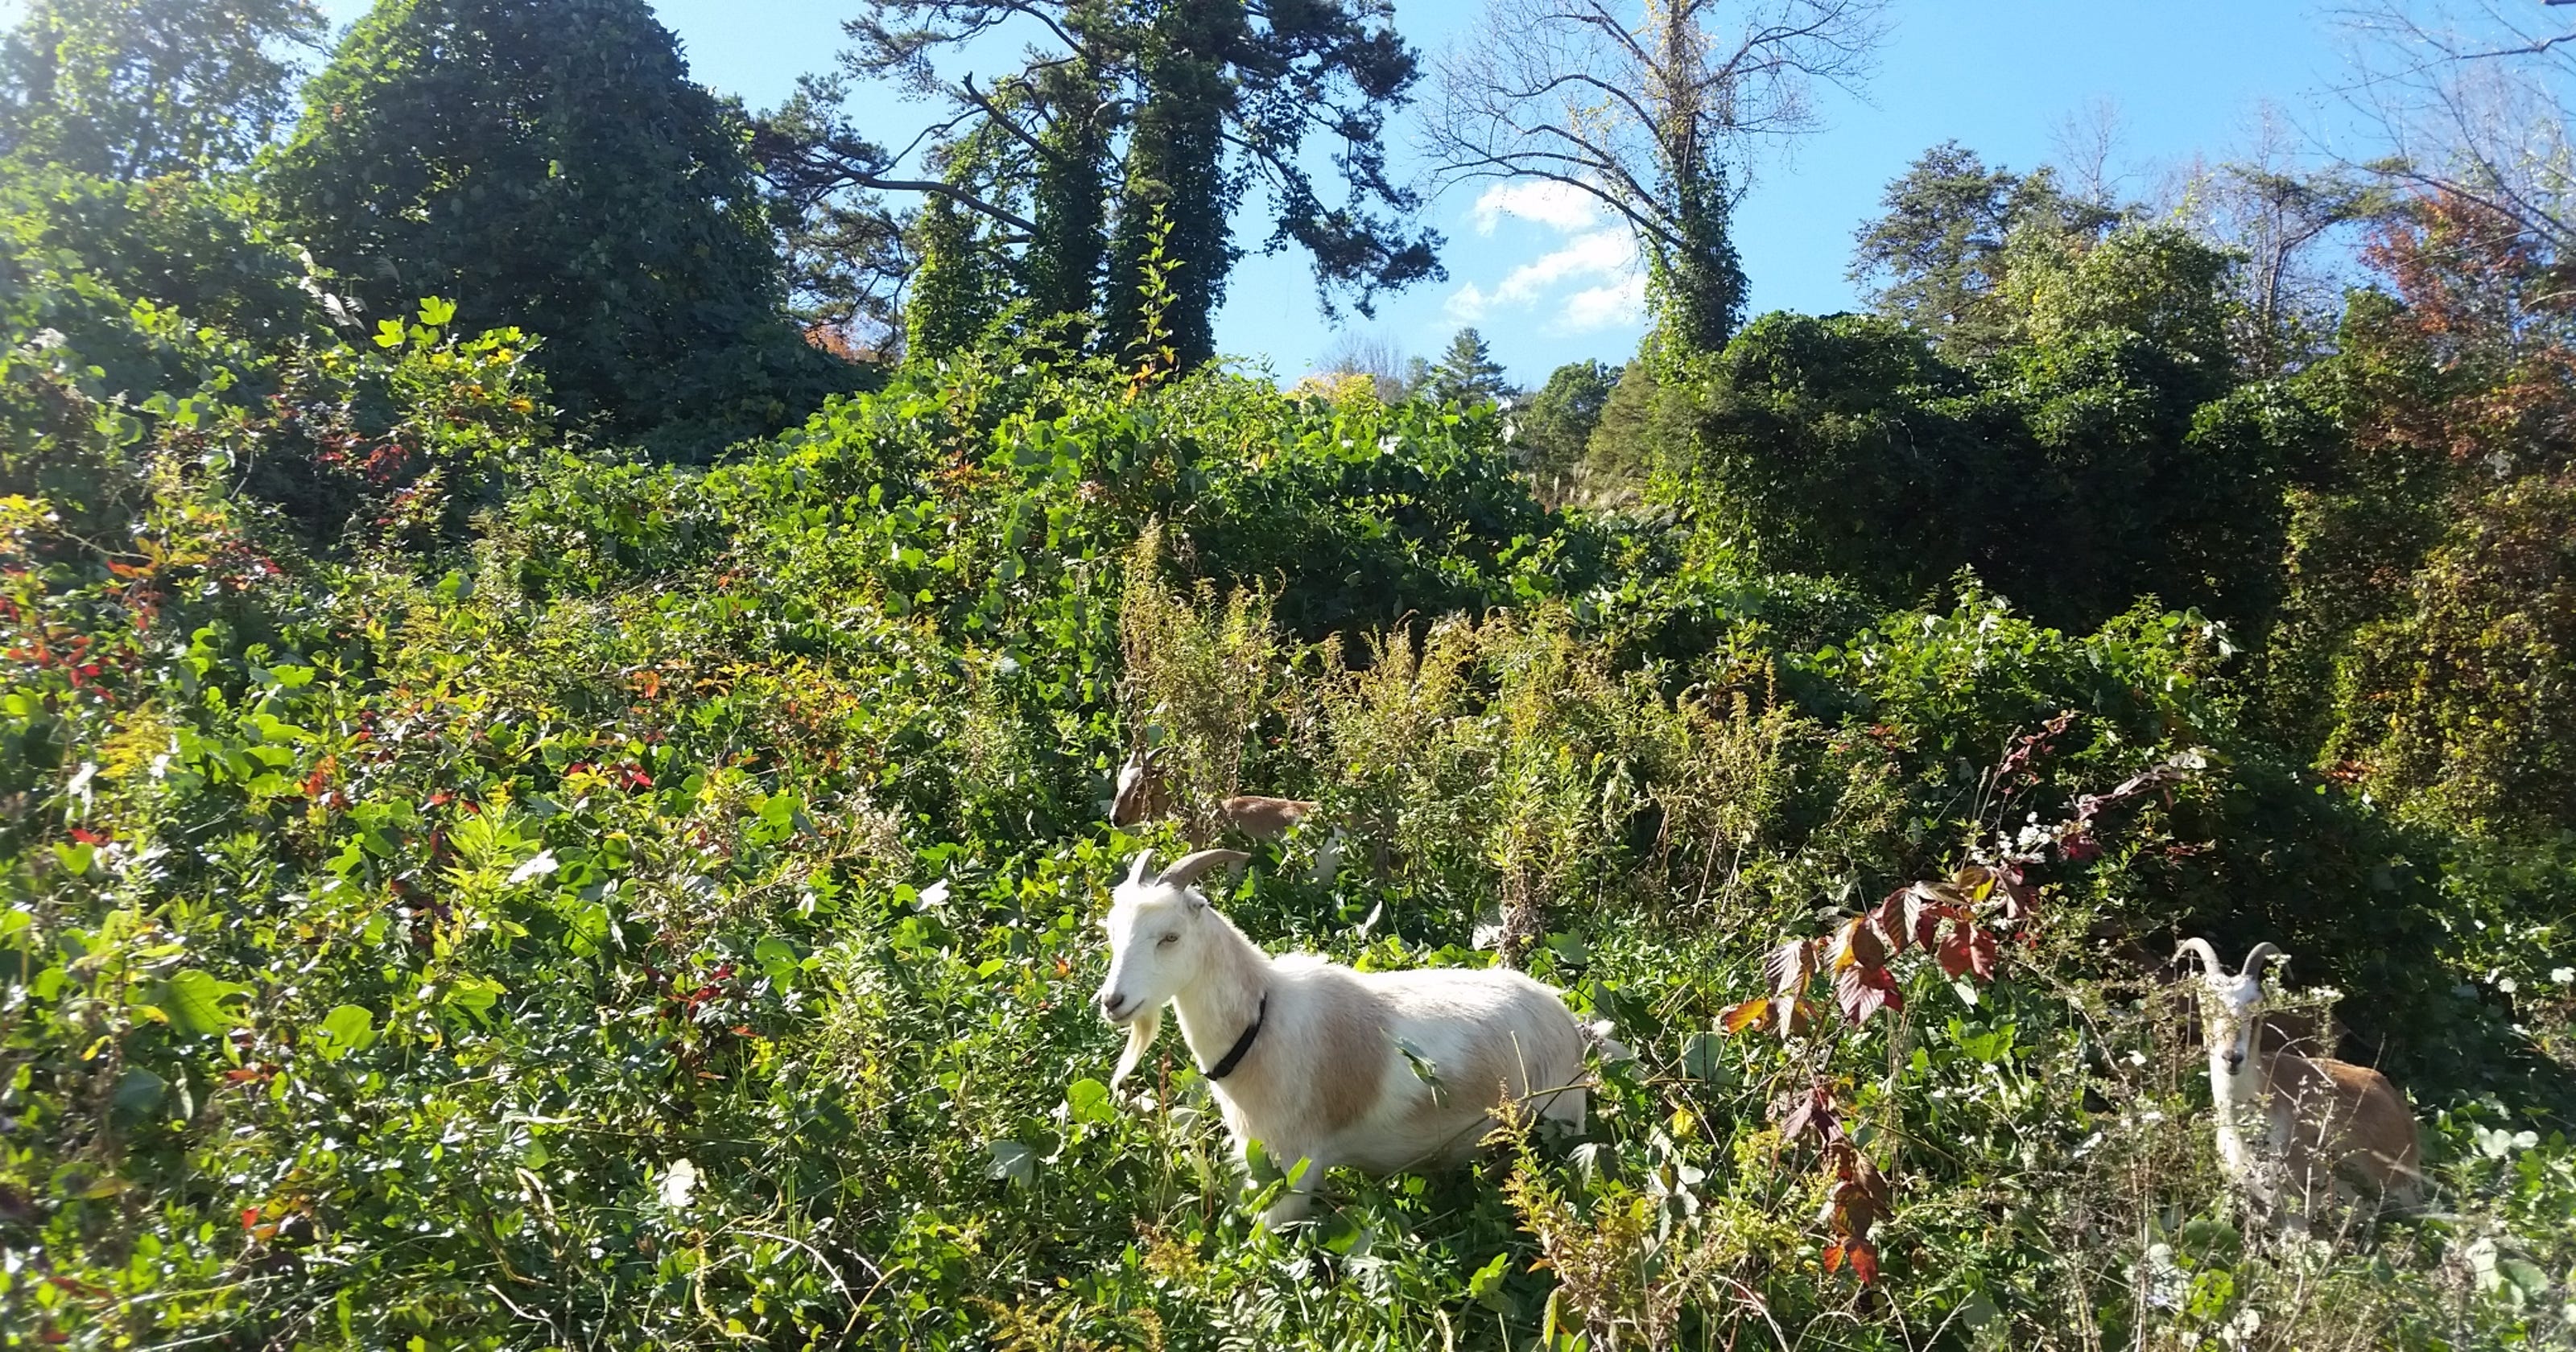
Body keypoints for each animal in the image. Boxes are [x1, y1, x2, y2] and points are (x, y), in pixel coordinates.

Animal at [1098, 849, 1596, 1226]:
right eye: (1112, 932)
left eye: (1170, 937)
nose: (1112, 1001)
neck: (1260, 1020)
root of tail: (1571, 1026)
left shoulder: (1293, 1172)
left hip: (1559, 1124)